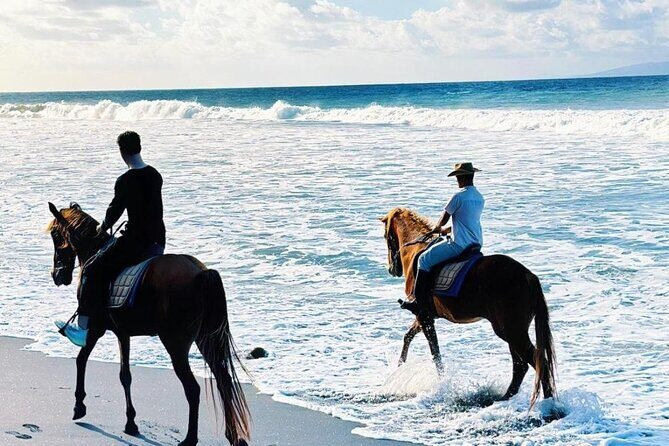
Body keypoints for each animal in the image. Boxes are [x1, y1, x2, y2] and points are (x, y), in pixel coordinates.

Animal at [46, 202, 250, 446]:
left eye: (55, 235)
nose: (56, 275)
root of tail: (201, 272)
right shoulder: (122, 333)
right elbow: (125, 376)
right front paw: (131, 423)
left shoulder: (96, 328)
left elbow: (81, 360)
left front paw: (79, 405)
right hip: (205, 339)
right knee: (223, 379)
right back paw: (233, 436)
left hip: (175, 343)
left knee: (193, 388)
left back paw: (190, 438)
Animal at [380, 207, 557, 407]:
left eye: (386, 236)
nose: (392, 269)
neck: (416, 250)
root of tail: (528, 275)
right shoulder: (426, 316)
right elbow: (408, 337)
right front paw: (399, 367)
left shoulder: (424, 316)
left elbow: (435, 354)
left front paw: (442, 384)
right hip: (512, 331)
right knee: (521, 365)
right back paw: (506, 397)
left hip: (511, 331)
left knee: (537, 362)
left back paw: (548, 401)